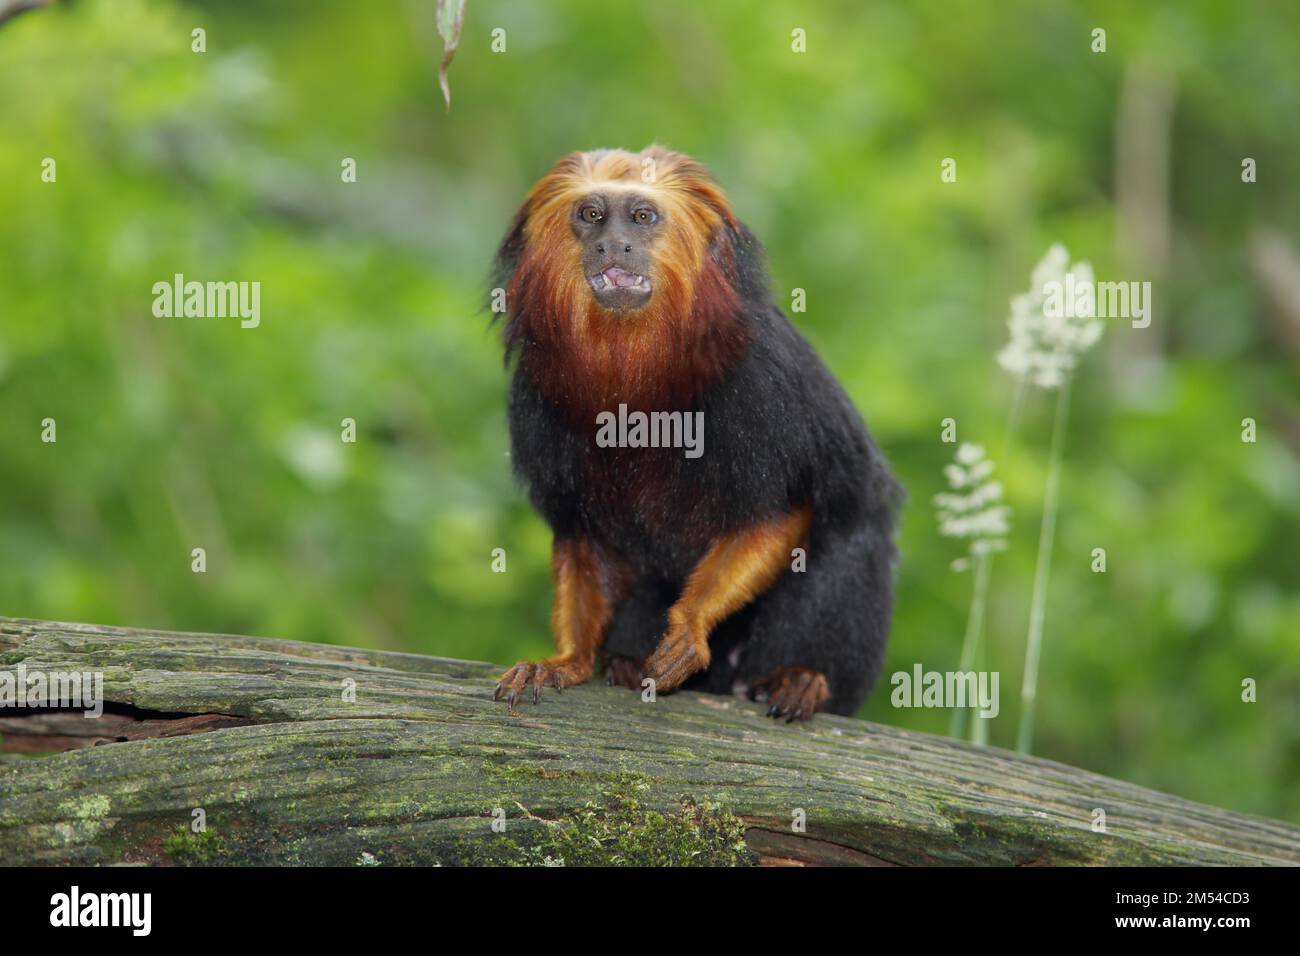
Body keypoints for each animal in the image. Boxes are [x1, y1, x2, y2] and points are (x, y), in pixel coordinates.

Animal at [491, 145, 902, 720]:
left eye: (642, 217)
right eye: (591, 215)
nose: (611, 244)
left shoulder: (758, 378)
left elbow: (776, 515)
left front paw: (688, 630)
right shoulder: (534, 399)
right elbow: (585, 539)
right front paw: (566, 662)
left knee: (851, 539)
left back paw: (800, 680)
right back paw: (622, 664)